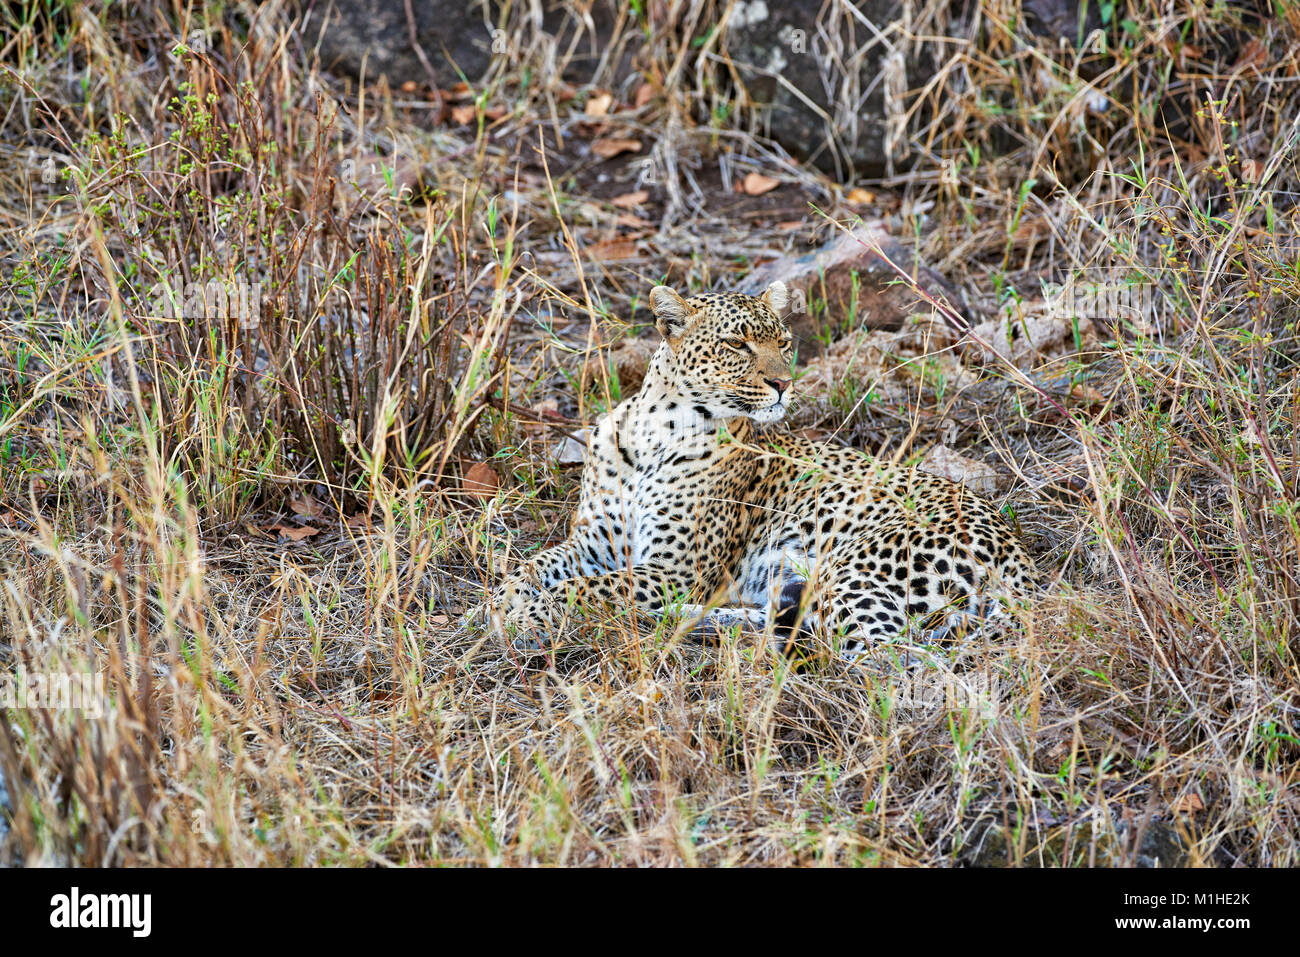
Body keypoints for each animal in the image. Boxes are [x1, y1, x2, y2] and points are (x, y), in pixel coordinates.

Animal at [476, 279, 1034, 660]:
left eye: (784, 342)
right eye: (736, 345)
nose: (784, 383)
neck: (655, 430)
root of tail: (1021, 556)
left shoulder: (678, 570)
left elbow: (586, 587)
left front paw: (530, 613)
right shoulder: (595, 543)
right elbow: (533, 565)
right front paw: (499, 602)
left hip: (854, 570)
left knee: (884, 659)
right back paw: (689, 621)